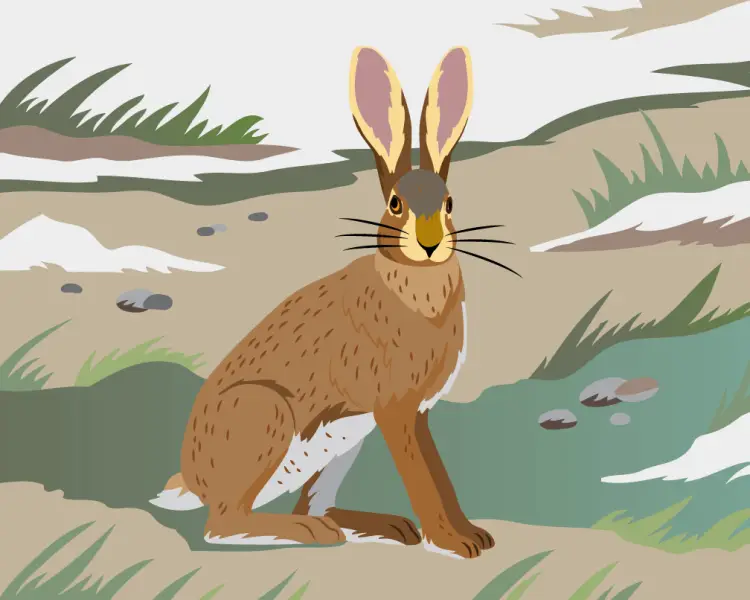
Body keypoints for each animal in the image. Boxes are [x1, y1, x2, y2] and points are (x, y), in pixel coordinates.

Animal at [150, 45, 510, 559]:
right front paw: (453, 543)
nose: (429, 244)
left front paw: (470, 534)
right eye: (396, 204)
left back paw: (378, 526)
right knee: (224, 524)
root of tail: (192, 481)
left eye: (450, 204)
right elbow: (423, 478)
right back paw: (310, 533)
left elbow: (439, 474)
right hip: (265, 416)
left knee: (306, 503)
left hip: (342, 443)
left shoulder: (417, 414)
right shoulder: (396, 409)